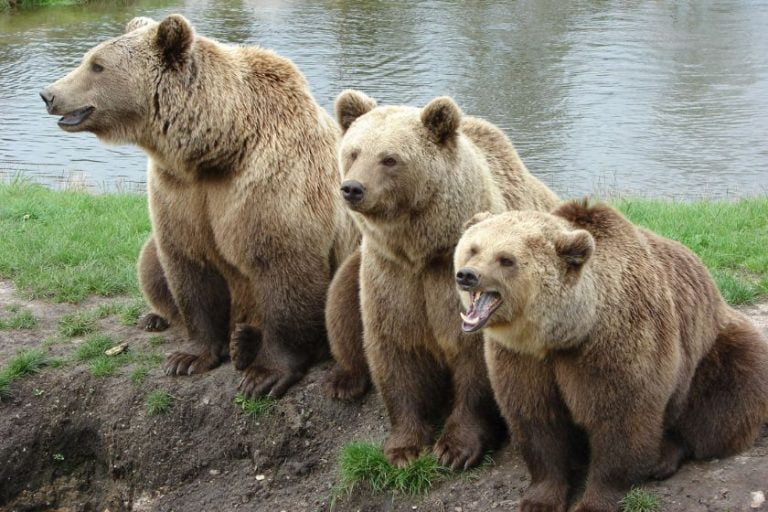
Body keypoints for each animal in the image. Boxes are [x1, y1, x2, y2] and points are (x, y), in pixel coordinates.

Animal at [41, 14, 359, 398]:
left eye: (97, 65)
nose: (48, 94)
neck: (217, 148)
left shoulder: (272, 185)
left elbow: (282, 267)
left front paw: (264, 375)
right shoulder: (180, 192)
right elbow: (189, 267)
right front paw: (188, 358)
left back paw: (246, 342)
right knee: (150, 261)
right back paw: (164, 319)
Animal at [327, 89, 559, 469]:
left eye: (389, 159)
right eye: (353, 152)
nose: (352, 188)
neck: (422, 250)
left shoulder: (455, 283)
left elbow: (475, 362)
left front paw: (455, 448)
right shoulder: (392, 275)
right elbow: (396, 350)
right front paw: (404, 447)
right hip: (356, 266)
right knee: (340, 301)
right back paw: (343, 380)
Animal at [453, 201, 768, 511]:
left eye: (506, 259)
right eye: (473, 248)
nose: (467, 275)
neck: (562, 334)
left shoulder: (617, 343)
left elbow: (620, 421)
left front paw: (594, 501)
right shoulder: (522, 358)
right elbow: (537, 419)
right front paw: (539, 499)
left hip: (711, 349)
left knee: (726, 398)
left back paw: (664, 455)